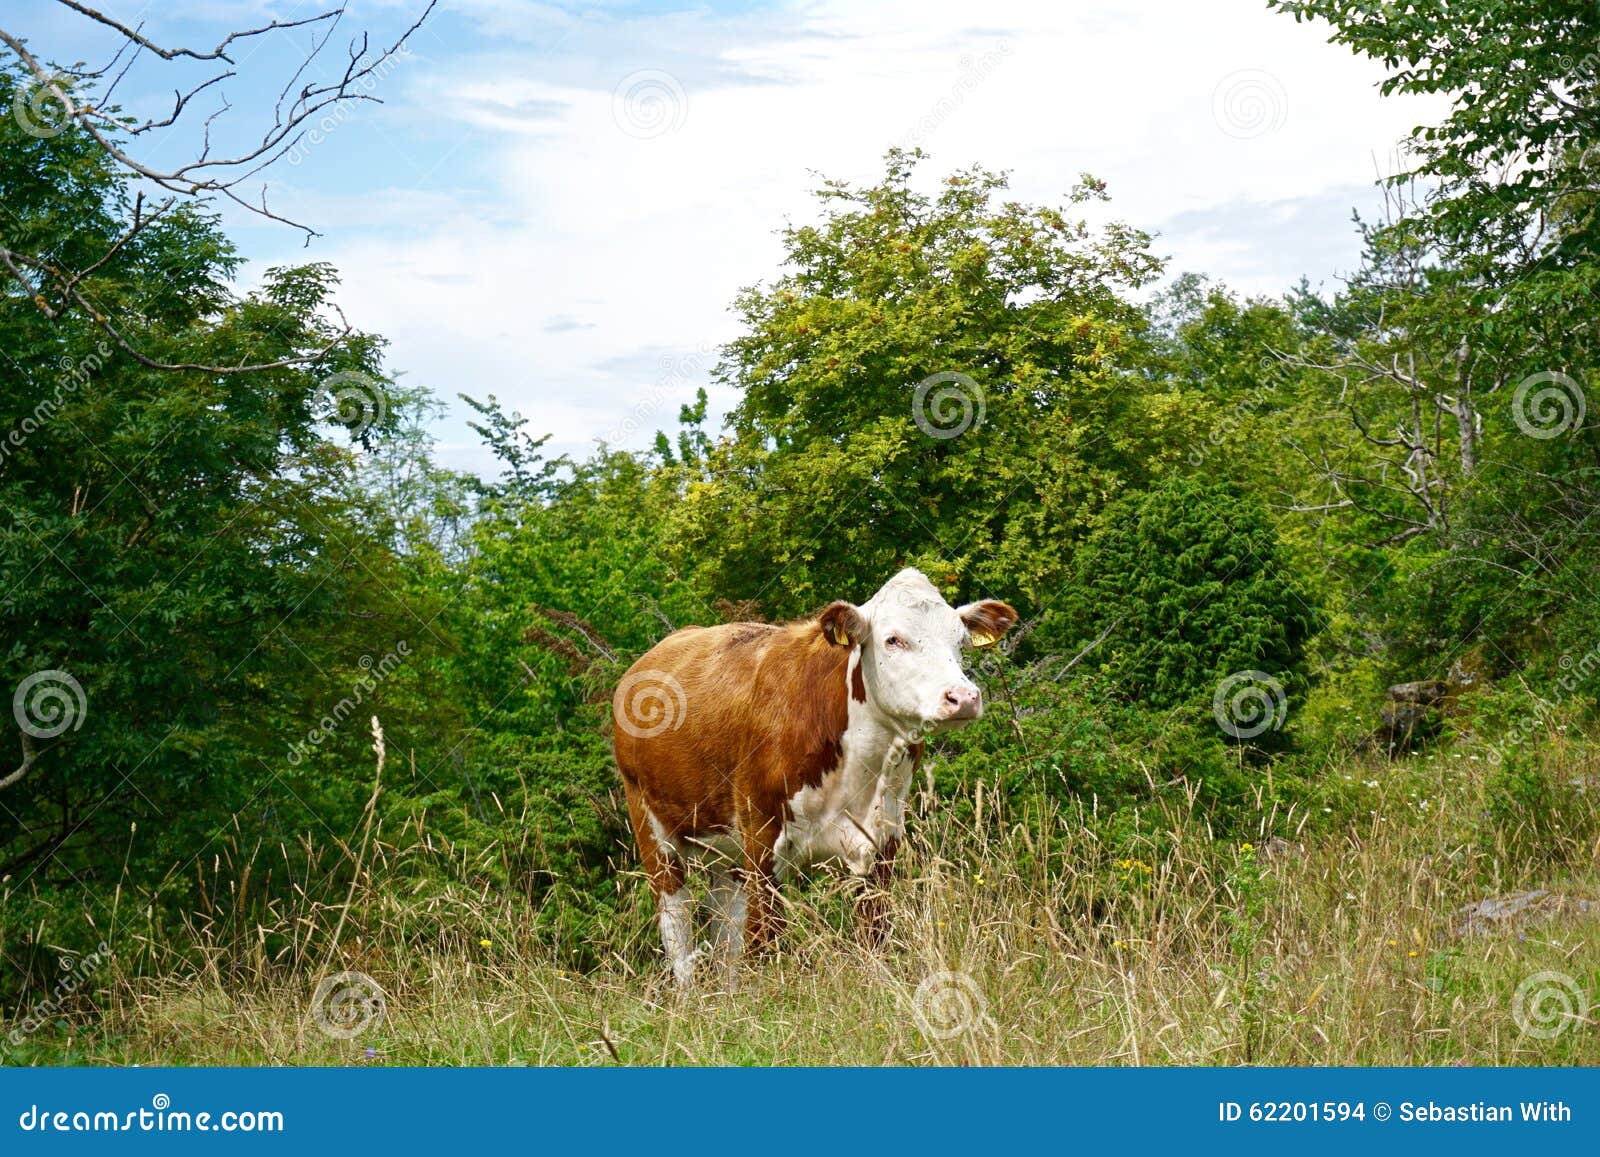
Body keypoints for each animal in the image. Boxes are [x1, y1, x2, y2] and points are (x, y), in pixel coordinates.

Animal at [611, 567, 1018, 986]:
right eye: (892, 639)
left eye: (960, 640)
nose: (963, 697)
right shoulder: (763, 840)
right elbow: (764, 944)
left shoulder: (883, 840)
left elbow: (874, 941)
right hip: (653, 829)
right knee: (679, 933)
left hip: (727, 852)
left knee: (726, 936)